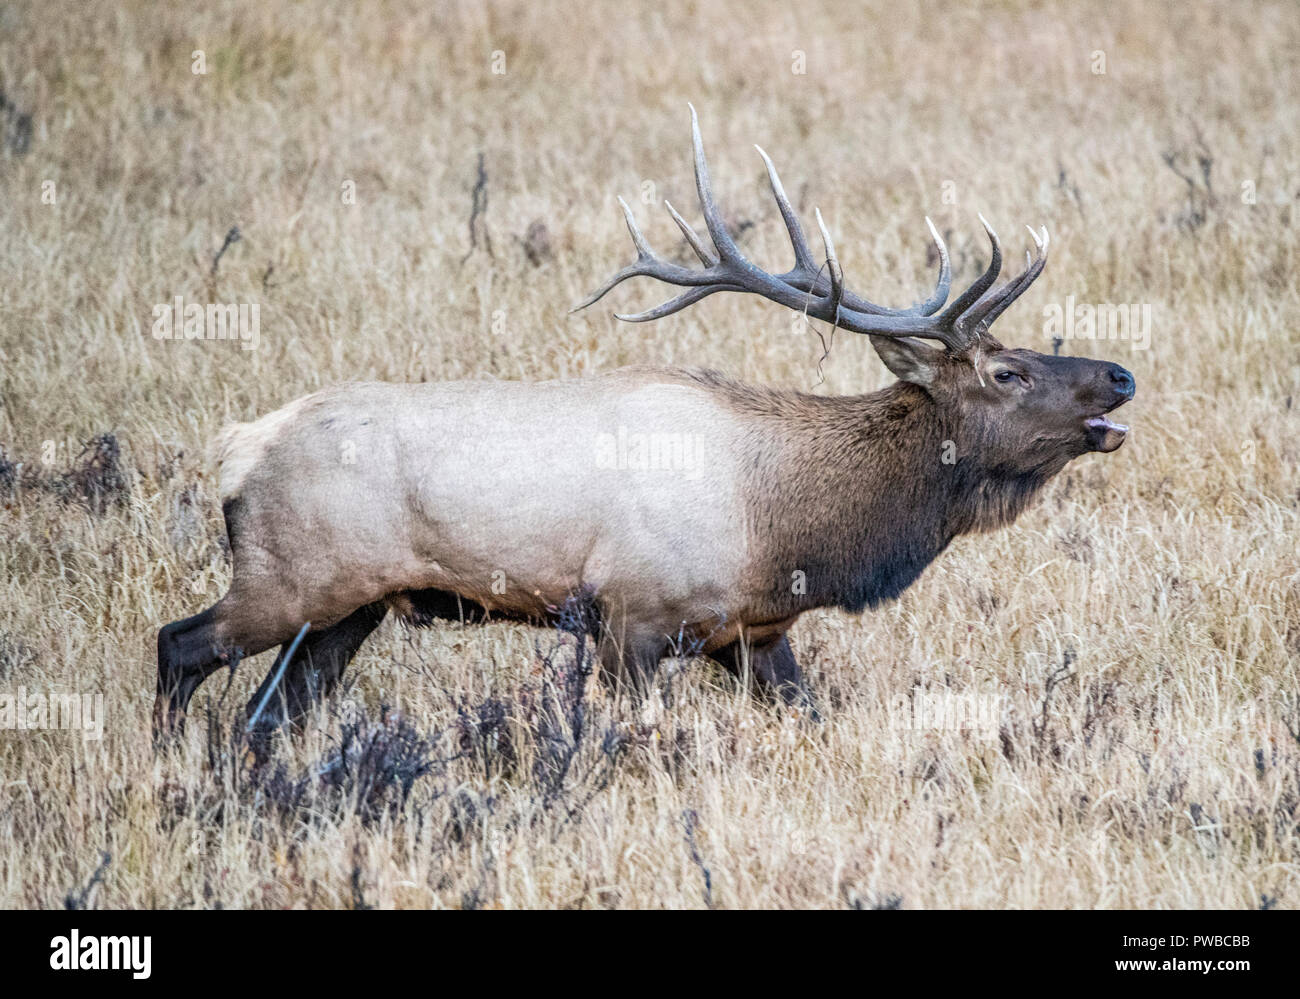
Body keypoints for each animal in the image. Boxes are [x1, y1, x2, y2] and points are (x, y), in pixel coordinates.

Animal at [153, 108, 1134, 744]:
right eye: (1007, 372)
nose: (1120, 374)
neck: (787, 529)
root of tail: (237, 450)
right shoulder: (632, 615)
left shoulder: (755, 633)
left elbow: (814, 718)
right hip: (291, 578)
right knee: (180, 645)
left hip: (347, 608)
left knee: (268, 714)